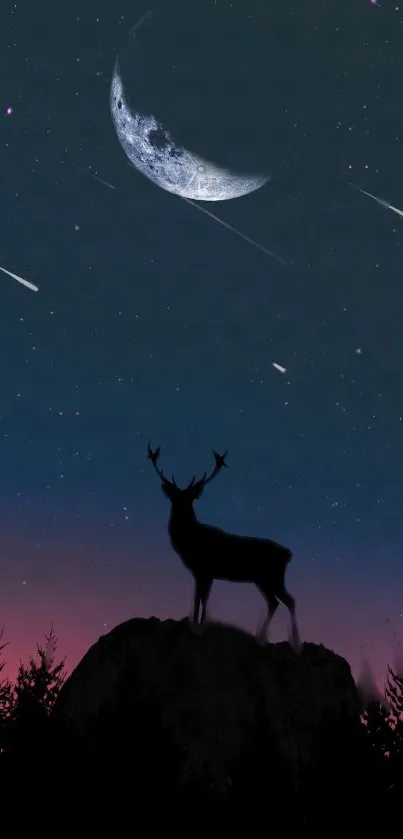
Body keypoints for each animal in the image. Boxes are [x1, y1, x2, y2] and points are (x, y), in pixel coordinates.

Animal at [147, 443, 300, 648]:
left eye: (190, 498)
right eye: (174, 498)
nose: (180, 509)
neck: (190, 541)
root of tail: (288, 554)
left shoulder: (205, 570)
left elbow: (202, 598)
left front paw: (199, 627)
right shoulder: (201, 573)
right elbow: (199, 598)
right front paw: (197, 623)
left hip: (273, 577)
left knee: (289, 601)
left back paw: (295, 643)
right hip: (263, 580)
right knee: (275, 603)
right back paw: (261, 637)